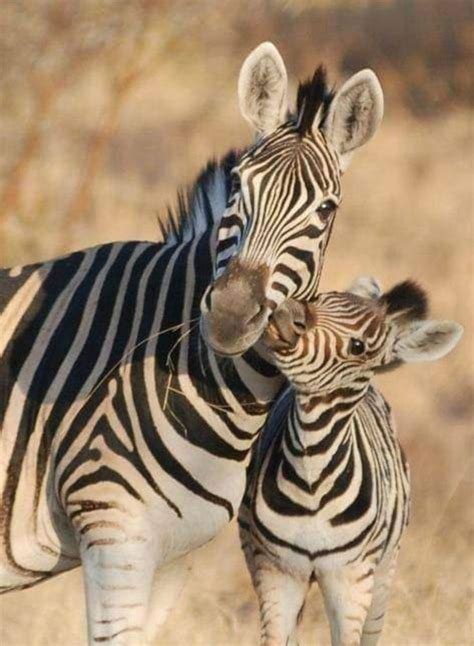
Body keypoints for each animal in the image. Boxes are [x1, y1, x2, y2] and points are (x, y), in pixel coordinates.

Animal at [238, 278, 462, 646]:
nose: (285, 312)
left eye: (358, 346)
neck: (310, 476)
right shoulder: (276, 570)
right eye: (320, 299)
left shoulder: (351, 578)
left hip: (384, 571)